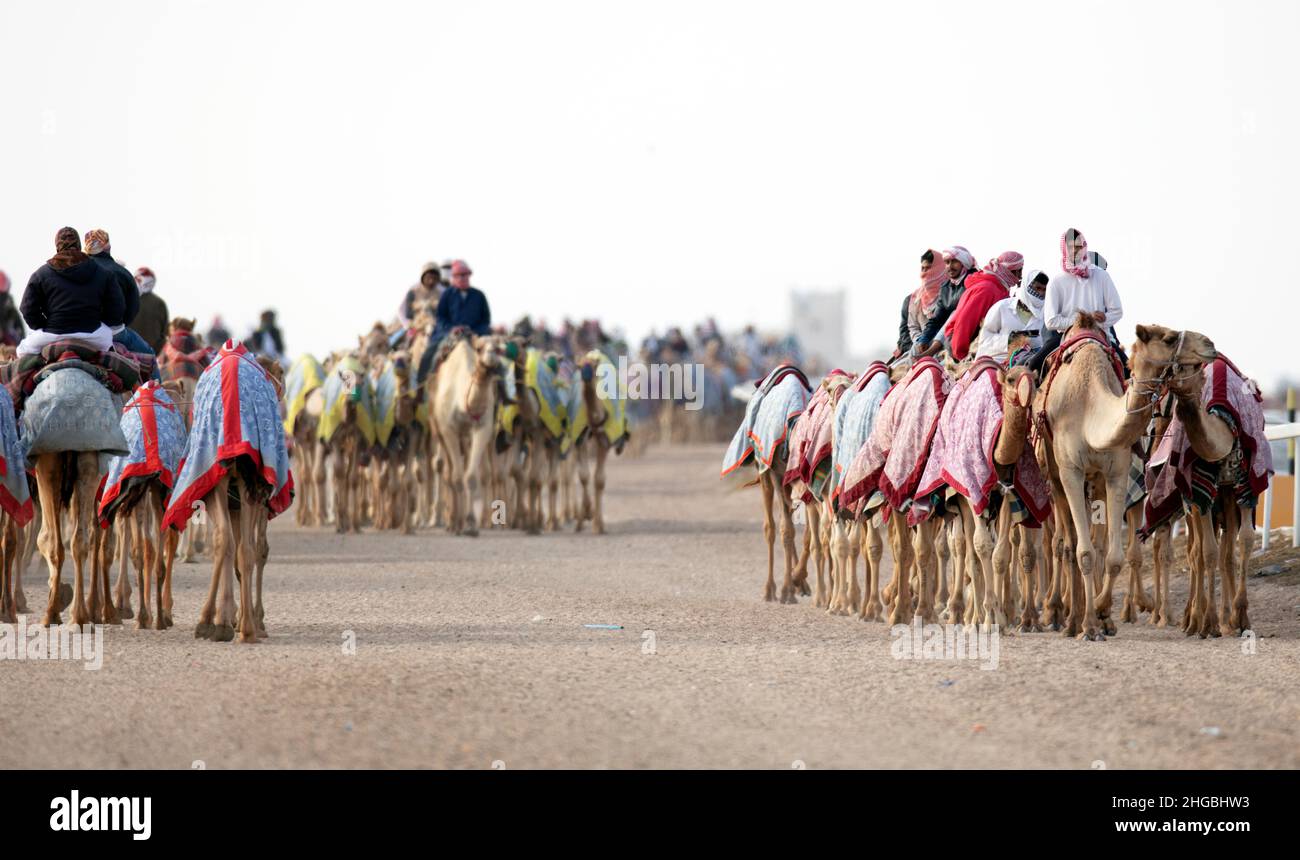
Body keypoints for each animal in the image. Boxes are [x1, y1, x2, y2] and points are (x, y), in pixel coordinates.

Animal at [1037, 316, 1216, 640]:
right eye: (1169, 338)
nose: (1209, 344)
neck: (1091, 412)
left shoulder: (1115, 474)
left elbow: (1113, 556)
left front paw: (1102, 612)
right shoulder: (1071, 471)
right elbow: (1083, 552)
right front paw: (1089, 625)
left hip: (1094, 484)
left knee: (1090, 543)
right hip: (1054, 478)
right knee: (1063, 543)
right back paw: (1062, 616)